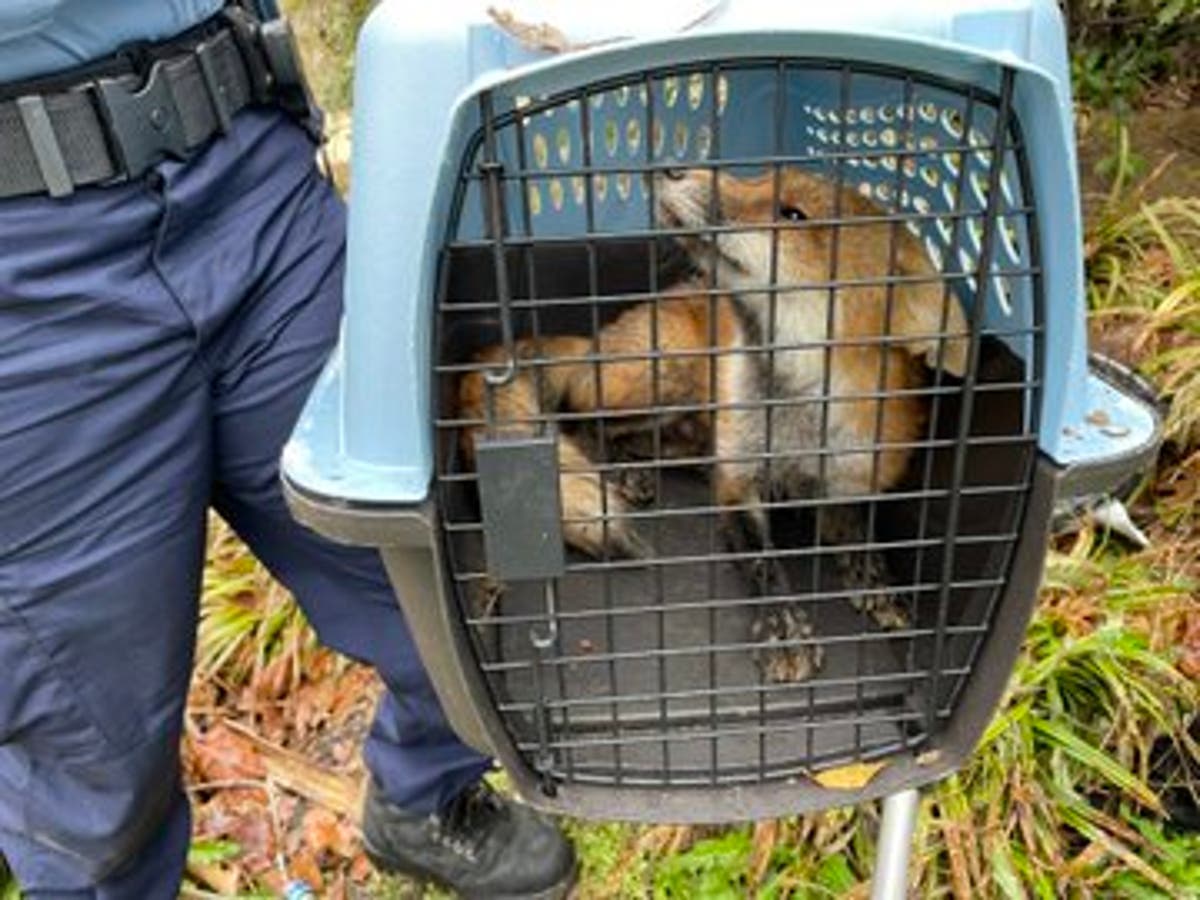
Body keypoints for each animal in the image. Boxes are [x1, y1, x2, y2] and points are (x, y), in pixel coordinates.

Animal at [457, 166, 969, 681]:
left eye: (793, 214)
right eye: (760, 176)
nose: (672, 168)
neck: (796, 419)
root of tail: (596, 340)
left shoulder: (847, 477)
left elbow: (859, 532)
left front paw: (878, 581)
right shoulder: (738, 485)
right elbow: (763, 560)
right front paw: (784, 628)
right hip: (666, 375)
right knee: (586, 425)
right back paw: (625, 472)